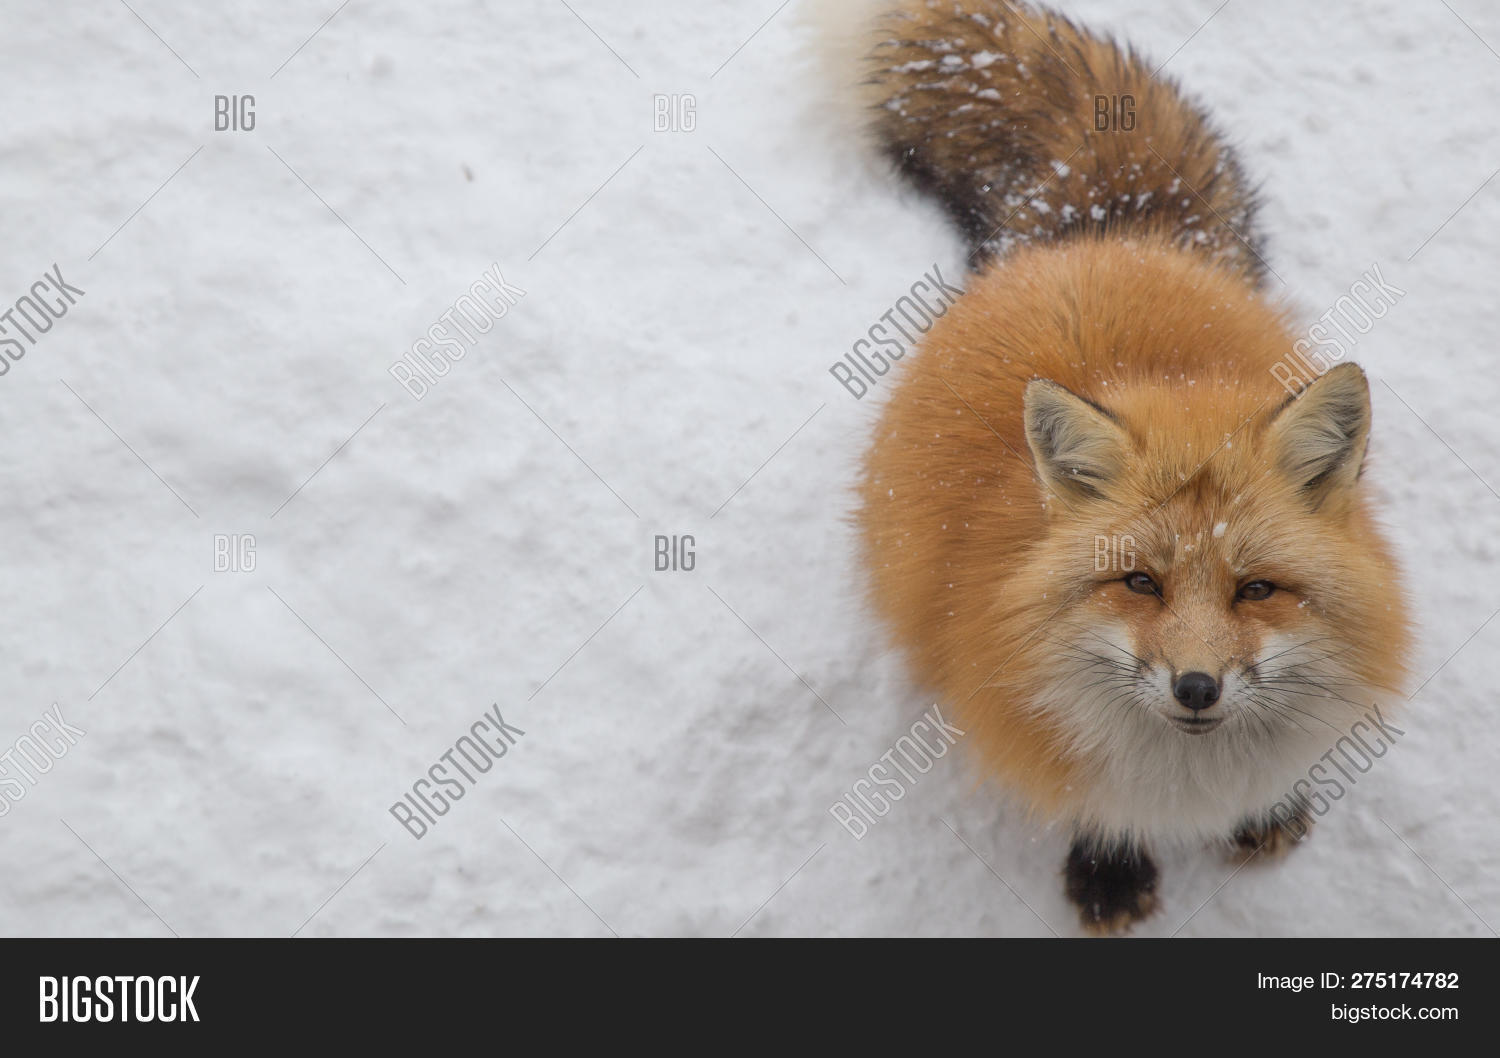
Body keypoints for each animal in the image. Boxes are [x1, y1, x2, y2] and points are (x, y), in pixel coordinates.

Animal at [847, 0, 1415, 932]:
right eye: (1139, 583)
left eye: (1257, 589)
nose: (1197, 688)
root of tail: (1101, 236)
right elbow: (1099, 806)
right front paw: (1109, 868)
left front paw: (1268, 806)